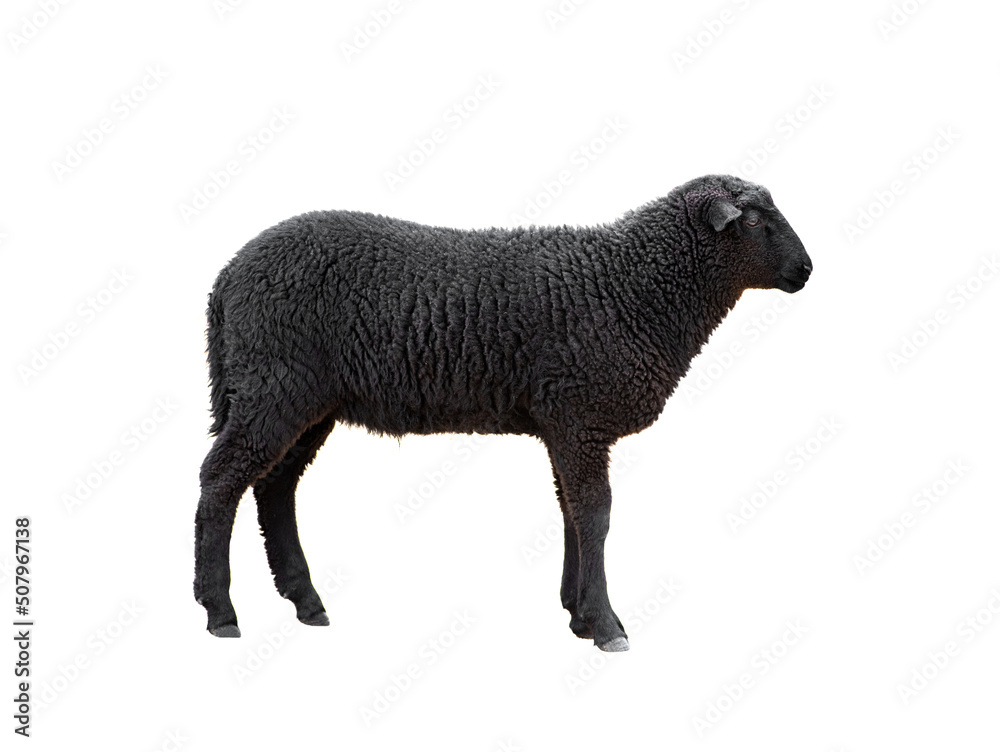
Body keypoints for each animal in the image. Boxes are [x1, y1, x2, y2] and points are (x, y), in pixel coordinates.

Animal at [193, 173, 812, 651]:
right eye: (751, 221)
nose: (806, 270)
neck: (629, 286)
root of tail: (226, 277)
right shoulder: (580, 416)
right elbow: (596, 513)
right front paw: (605, 624)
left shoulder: (562, 423)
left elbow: (570, 511)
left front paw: (576, 613)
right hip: (273, 386)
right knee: (221, 481)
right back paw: (220, 611)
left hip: (300, 399)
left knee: (275, 486)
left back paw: (305, 601)